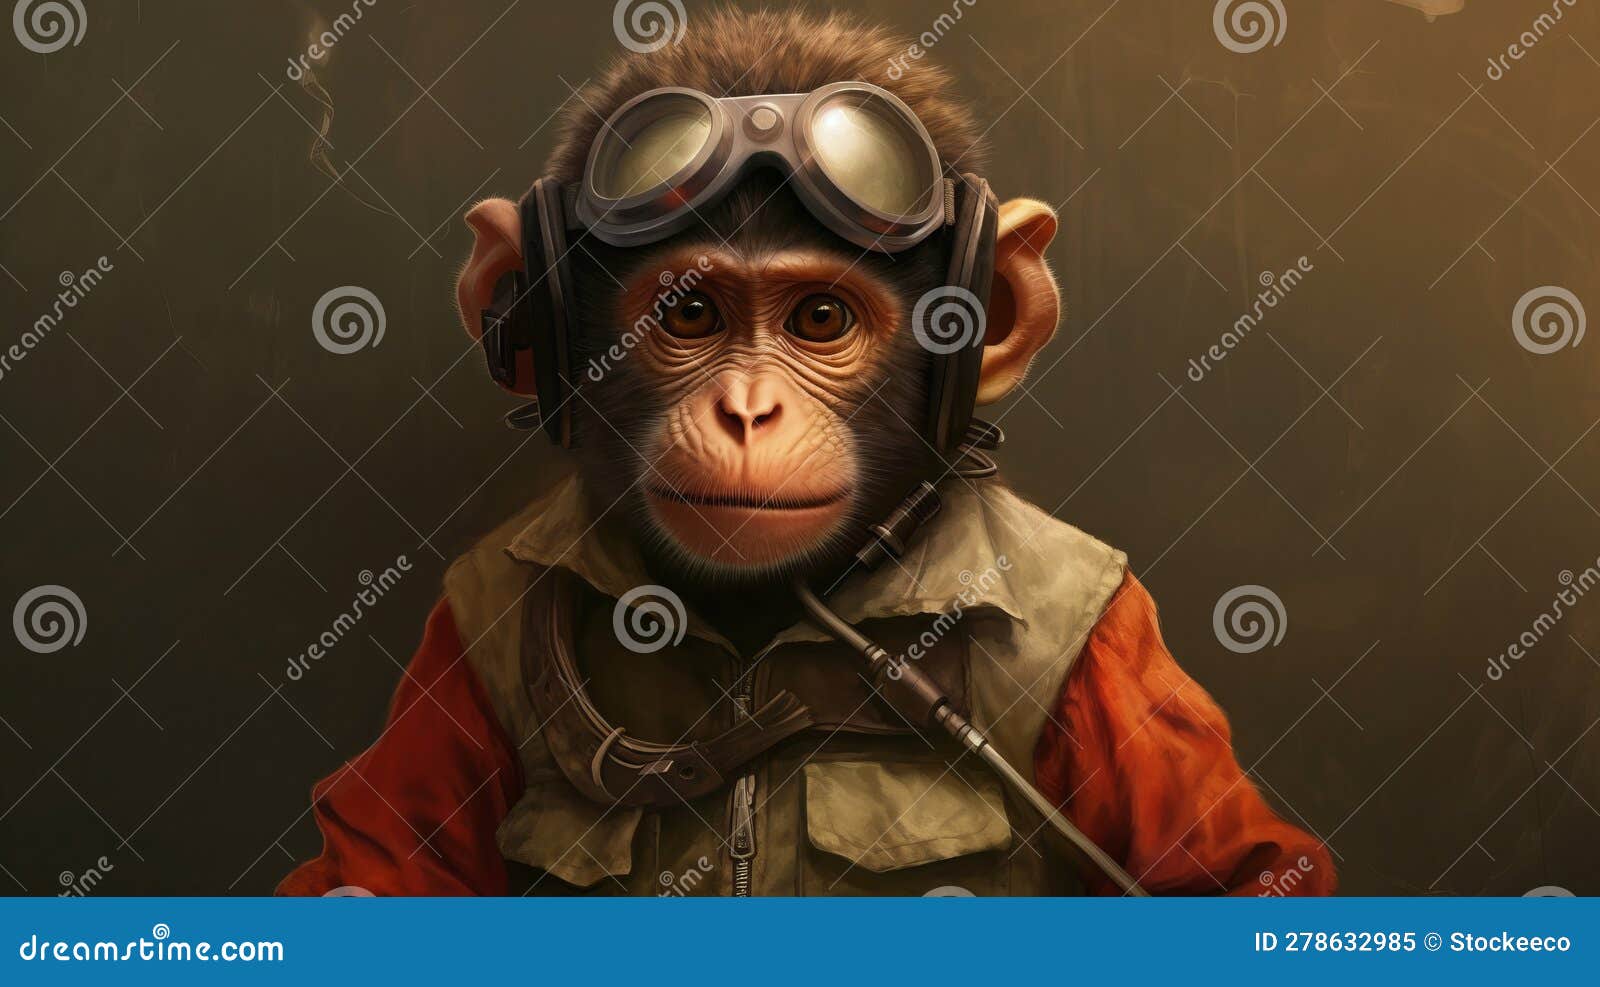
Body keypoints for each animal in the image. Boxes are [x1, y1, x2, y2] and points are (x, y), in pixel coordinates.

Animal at [280, 7, 1334, 898]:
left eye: (820, 318)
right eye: (689, 313)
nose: (749, 410)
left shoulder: (1117, 640)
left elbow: (1251, 864)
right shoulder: (455, 634)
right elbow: (372, 851)